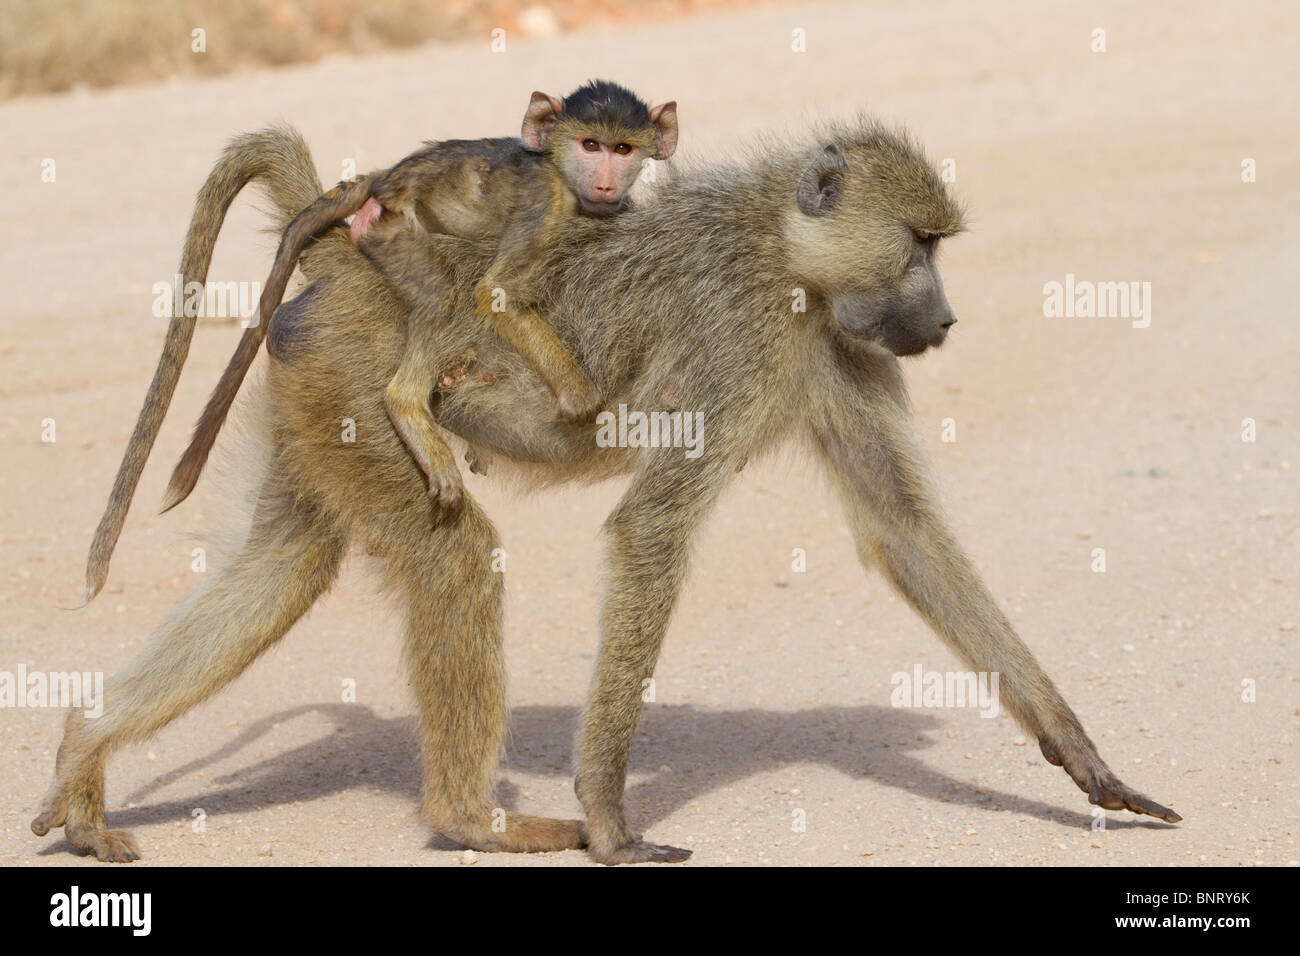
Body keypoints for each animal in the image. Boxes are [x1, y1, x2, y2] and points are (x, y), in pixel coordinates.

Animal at [163, 80, 678, 513]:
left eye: (623, 148)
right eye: (590, 145)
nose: (605, 181)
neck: (560, 172)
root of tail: (384, 177)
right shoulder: (543, 202)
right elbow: (496, 292)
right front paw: (580, 398)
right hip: (391, 229)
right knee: (439, 297)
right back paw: (406, 406)